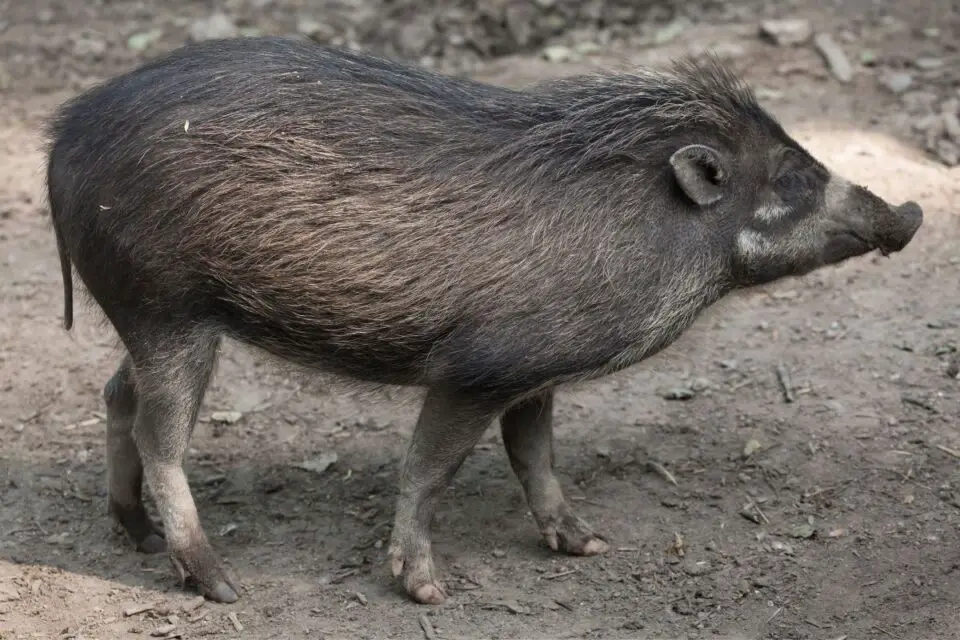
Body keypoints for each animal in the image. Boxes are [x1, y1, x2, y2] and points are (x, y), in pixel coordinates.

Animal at [44, 35, 923, 605]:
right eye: (791, 177)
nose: (911, 212)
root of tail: (61, 138)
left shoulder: (538, 374)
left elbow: (535, 456)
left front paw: (584, 544)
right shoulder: (478, 369)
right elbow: (428, 469)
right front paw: (425, 591)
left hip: (151, 316)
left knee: (115, 396)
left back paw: (136, 536)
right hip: (167, 310)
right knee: (161, 437)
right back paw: (221, 585)